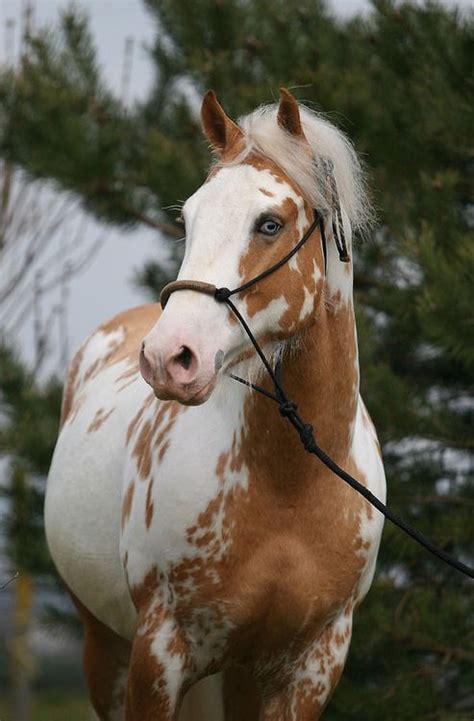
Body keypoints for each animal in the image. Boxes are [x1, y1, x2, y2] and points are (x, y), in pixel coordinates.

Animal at [45, 88, 386, 720]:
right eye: (188, 219)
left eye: (269, 223)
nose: (169, 357)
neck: (288, 487)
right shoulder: (158, 654)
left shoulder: (310, 667)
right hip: (103, 647)